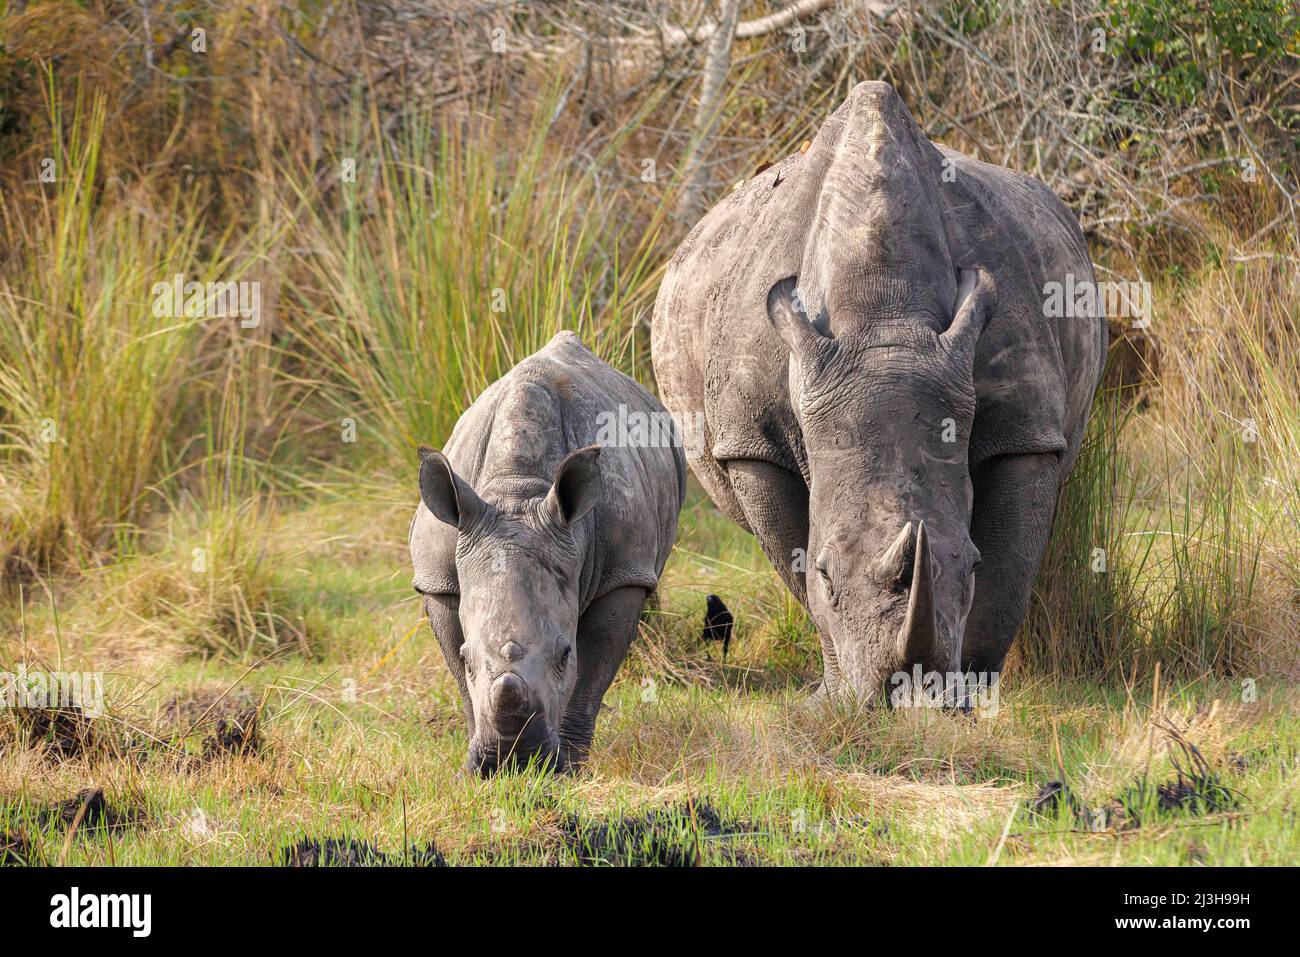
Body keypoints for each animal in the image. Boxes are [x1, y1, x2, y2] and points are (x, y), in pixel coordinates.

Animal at [409, 332, 685, 773]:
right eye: (469, 660)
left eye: (563, 655)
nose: (515, 760)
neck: (516, 491)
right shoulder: (438, 579)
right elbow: (459, 674)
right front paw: (470, 768)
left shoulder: (623, 573)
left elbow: (590, 676)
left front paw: (569, 769)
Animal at [651, 82, 1106, 700]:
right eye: (828, 574)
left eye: (968, 565)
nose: (905, 688)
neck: (884, 318)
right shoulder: (750, 441)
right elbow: (796, 562)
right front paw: (836, 696)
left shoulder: (1027, 428)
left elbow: (1007, 573)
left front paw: (972, 698)